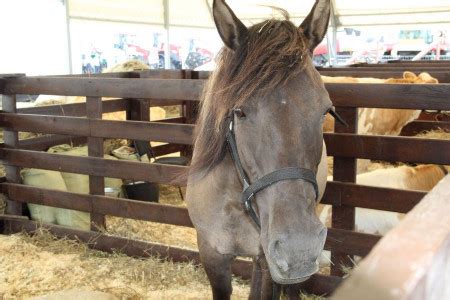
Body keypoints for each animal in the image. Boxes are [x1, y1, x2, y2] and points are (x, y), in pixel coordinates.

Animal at [185, 1, 332, 298]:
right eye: (239, 112)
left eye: (325, 110)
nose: (299, 248)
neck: (234, 200)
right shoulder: (211, 254)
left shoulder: (265, 258)